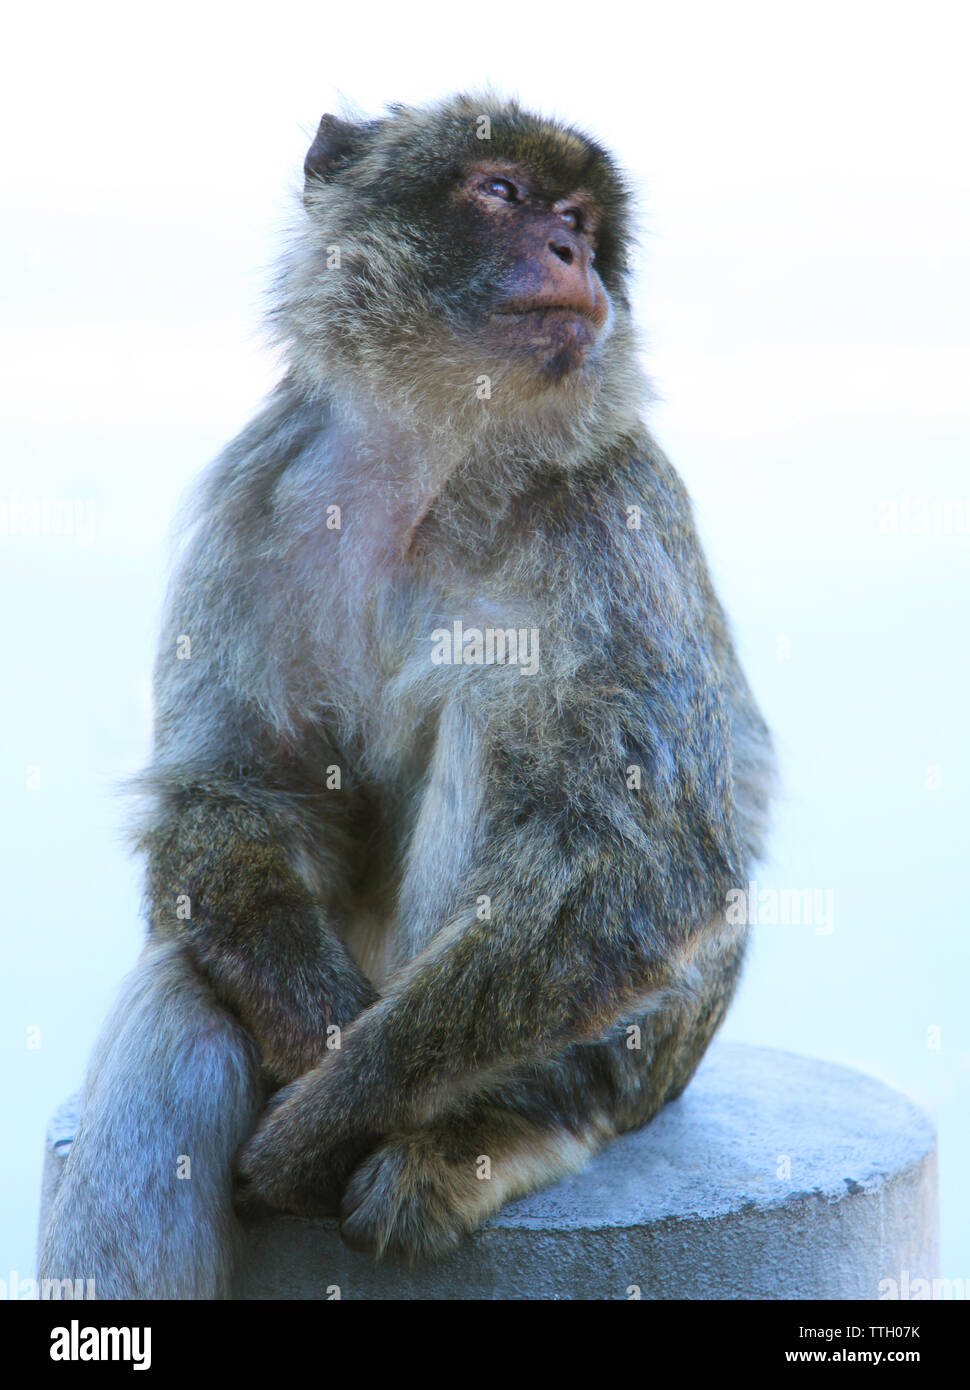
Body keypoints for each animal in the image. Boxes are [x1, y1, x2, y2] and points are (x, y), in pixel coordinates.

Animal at [39, 93, 775, 1297]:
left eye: (579, 218)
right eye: (504, 194)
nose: (572, 253)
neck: (433, 453)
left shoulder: (614, 507)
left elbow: (651, 859)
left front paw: (328, 1116)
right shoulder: (254, 485)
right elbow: (233, 787)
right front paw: (311, 1036)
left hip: (640, 1056)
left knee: (496, 723)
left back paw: (484, 1129)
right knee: (187, 981)